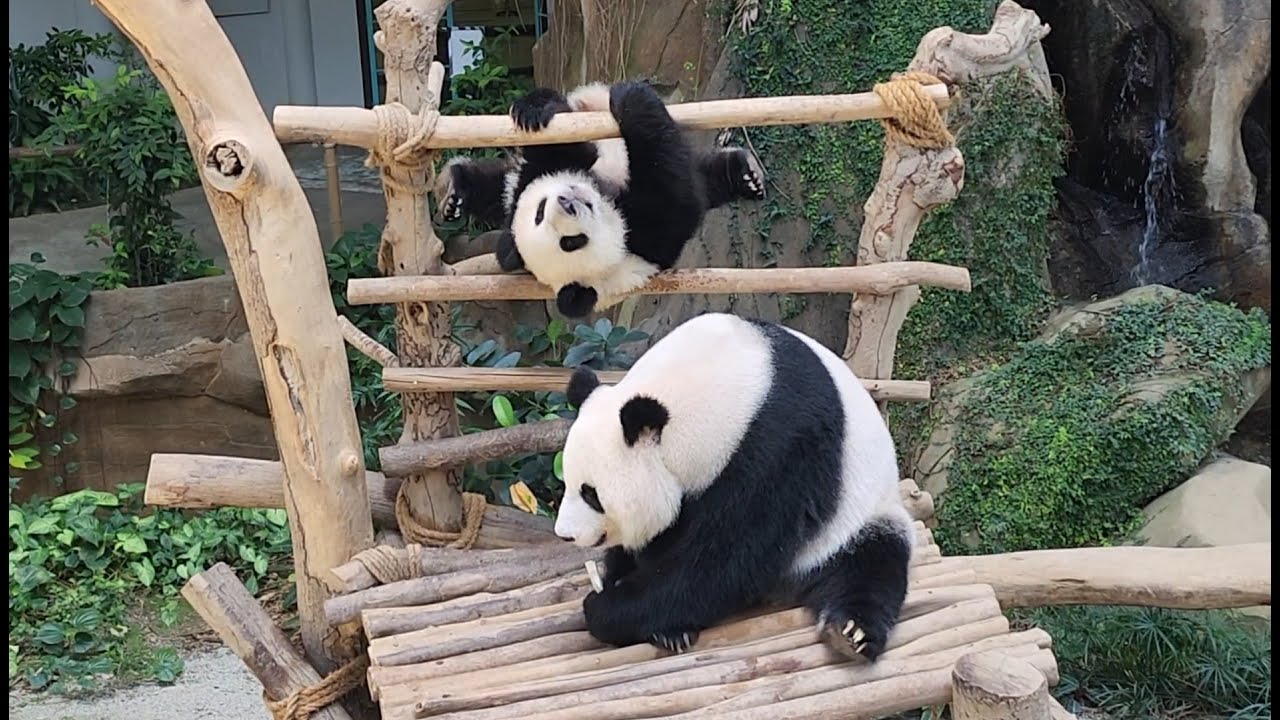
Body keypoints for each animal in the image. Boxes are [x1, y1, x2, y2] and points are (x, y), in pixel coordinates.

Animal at [433, 81, 767, 319]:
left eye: (539, 212)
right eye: (571, 242)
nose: (567, 202)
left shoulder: (542, 176)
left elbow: (561, 153)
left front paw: (537, 110)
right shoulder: (648, 237)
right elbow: (679, 197)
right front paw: (634, 99)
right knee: (697, 178)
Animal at [554, 312, 915, 661]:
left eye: (591, 494)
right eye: (567, 482)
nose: (565, 535)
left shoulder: (782, 447)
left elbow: (726, 560)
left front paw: (607, 609)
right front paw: (631, 595)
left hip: (861, 514)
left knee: (870, 566)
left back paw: (850, 632)